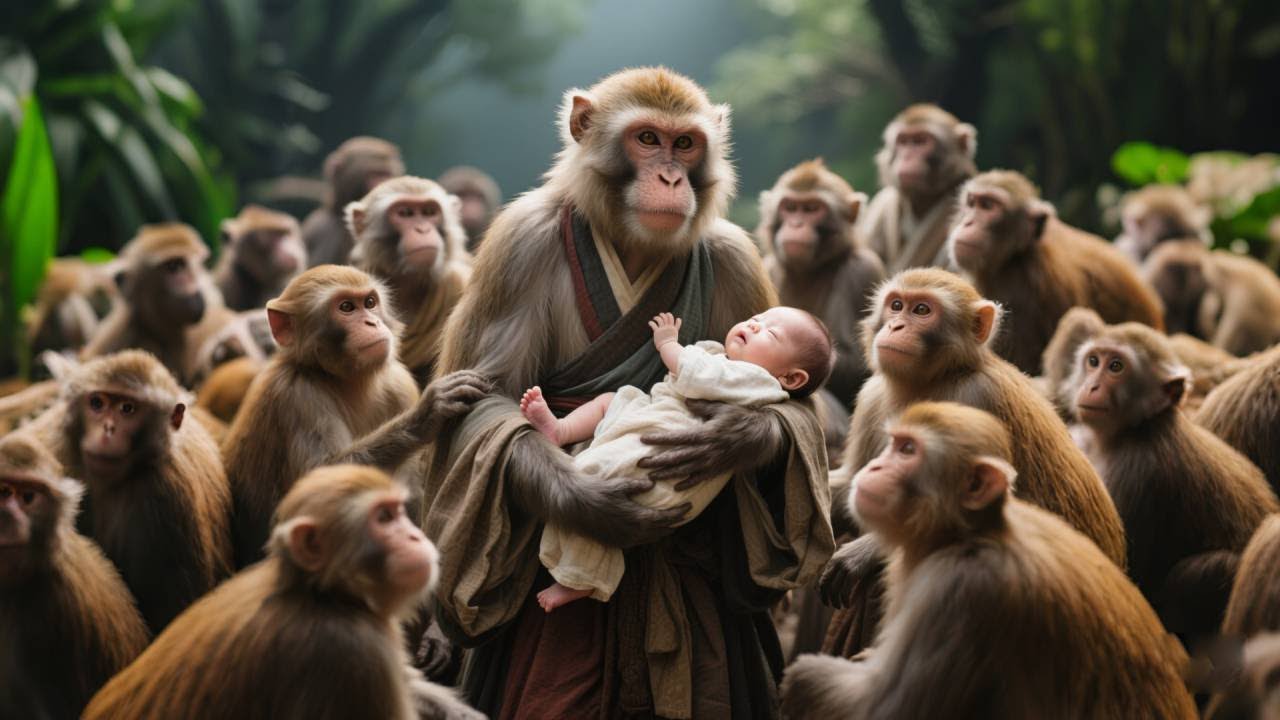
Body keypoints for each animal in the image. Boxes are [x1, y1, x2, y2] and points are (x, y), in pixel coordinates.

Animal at [221, 265, 492, 568]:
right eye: (347, 307)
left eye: (370, 303)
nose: (372, 323)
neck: (346, 381)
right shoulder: (298, 396)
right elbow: (319, 482)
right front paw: (425, 416)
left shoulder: (399, 384)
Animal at [421, 68, 832, 718]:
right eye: (646, 139)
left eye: (684, 144)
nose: (669, 178)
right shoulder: (519, 243)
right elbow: (481, 403)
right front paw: (584, 499)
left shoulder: (738, 258)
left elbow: (801, 413)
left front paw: (739, 438)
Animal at [757, 158, 886, 406]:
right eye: (790, 208)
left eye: (812, 209)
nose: (796, 224)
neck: (809, 272)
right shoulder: (768, 267)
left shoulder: (861, 272)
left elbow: (857, 367)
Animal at [783, 402, 1196, 719]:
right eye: (894, 445)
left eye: (908, 451)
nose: (875, 468)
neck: (974, 535)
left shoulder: (957, 591)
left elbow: (887, 708)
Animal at [820, 268, 1126, 658]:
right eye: (896, 305)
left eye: (922, 310)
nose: (895, 326)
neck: (934, 381)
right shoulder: (872, 397)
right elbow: (854, 487)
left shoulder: (978, 399)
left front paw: (863, 552)